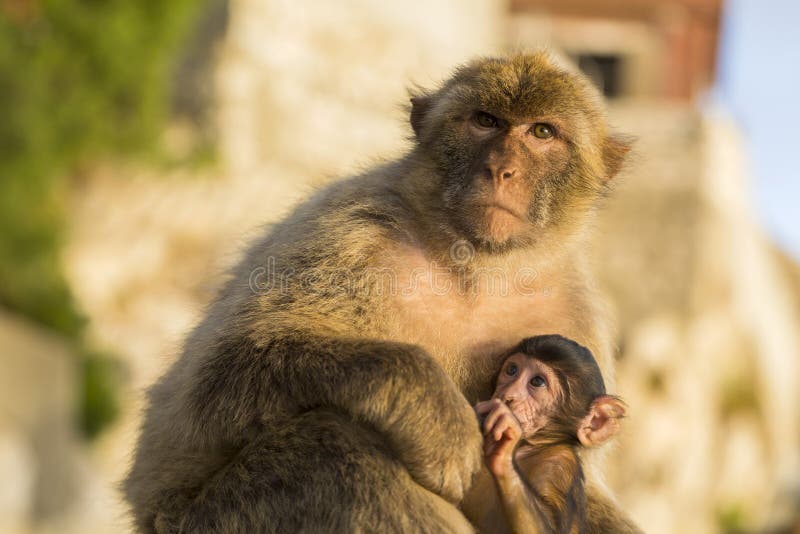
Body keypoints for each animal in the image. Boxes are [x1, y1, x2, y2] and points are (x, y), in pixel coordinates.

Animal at [462, 334, 634, 534]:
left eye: (537, 382)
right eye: (512, 370)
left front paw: (504, 453)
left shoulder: (559, 465)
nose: (508, 395)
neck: (531, 447)